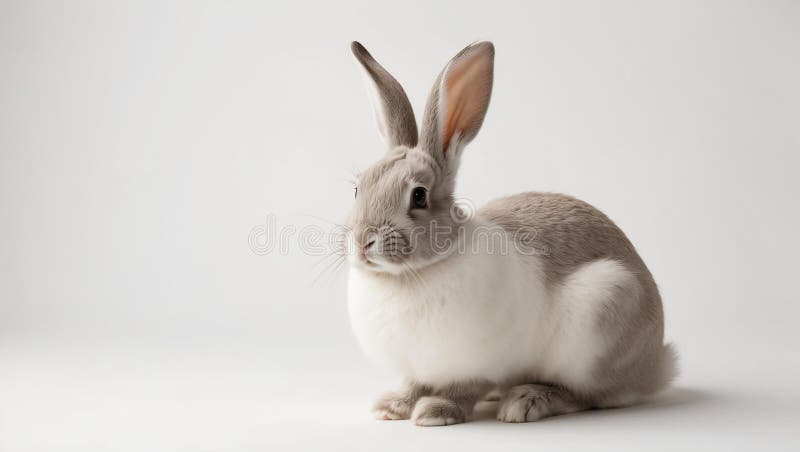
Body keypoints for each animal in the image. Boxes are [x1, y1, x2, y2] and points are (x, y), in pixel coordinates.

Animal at [345, 41, 677, 426]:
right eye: (358, 188)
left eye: (419, 196)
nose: (363, 242)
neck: (409, 275)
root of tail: (656, 365)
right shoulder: (418, 367)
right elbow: (413, 384)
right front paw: (392, 406)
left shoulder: (476, 362)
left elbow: (462, 389)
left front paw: (436, 411)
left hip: (602, 316)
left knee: (590, 395)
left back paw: (526, 401)